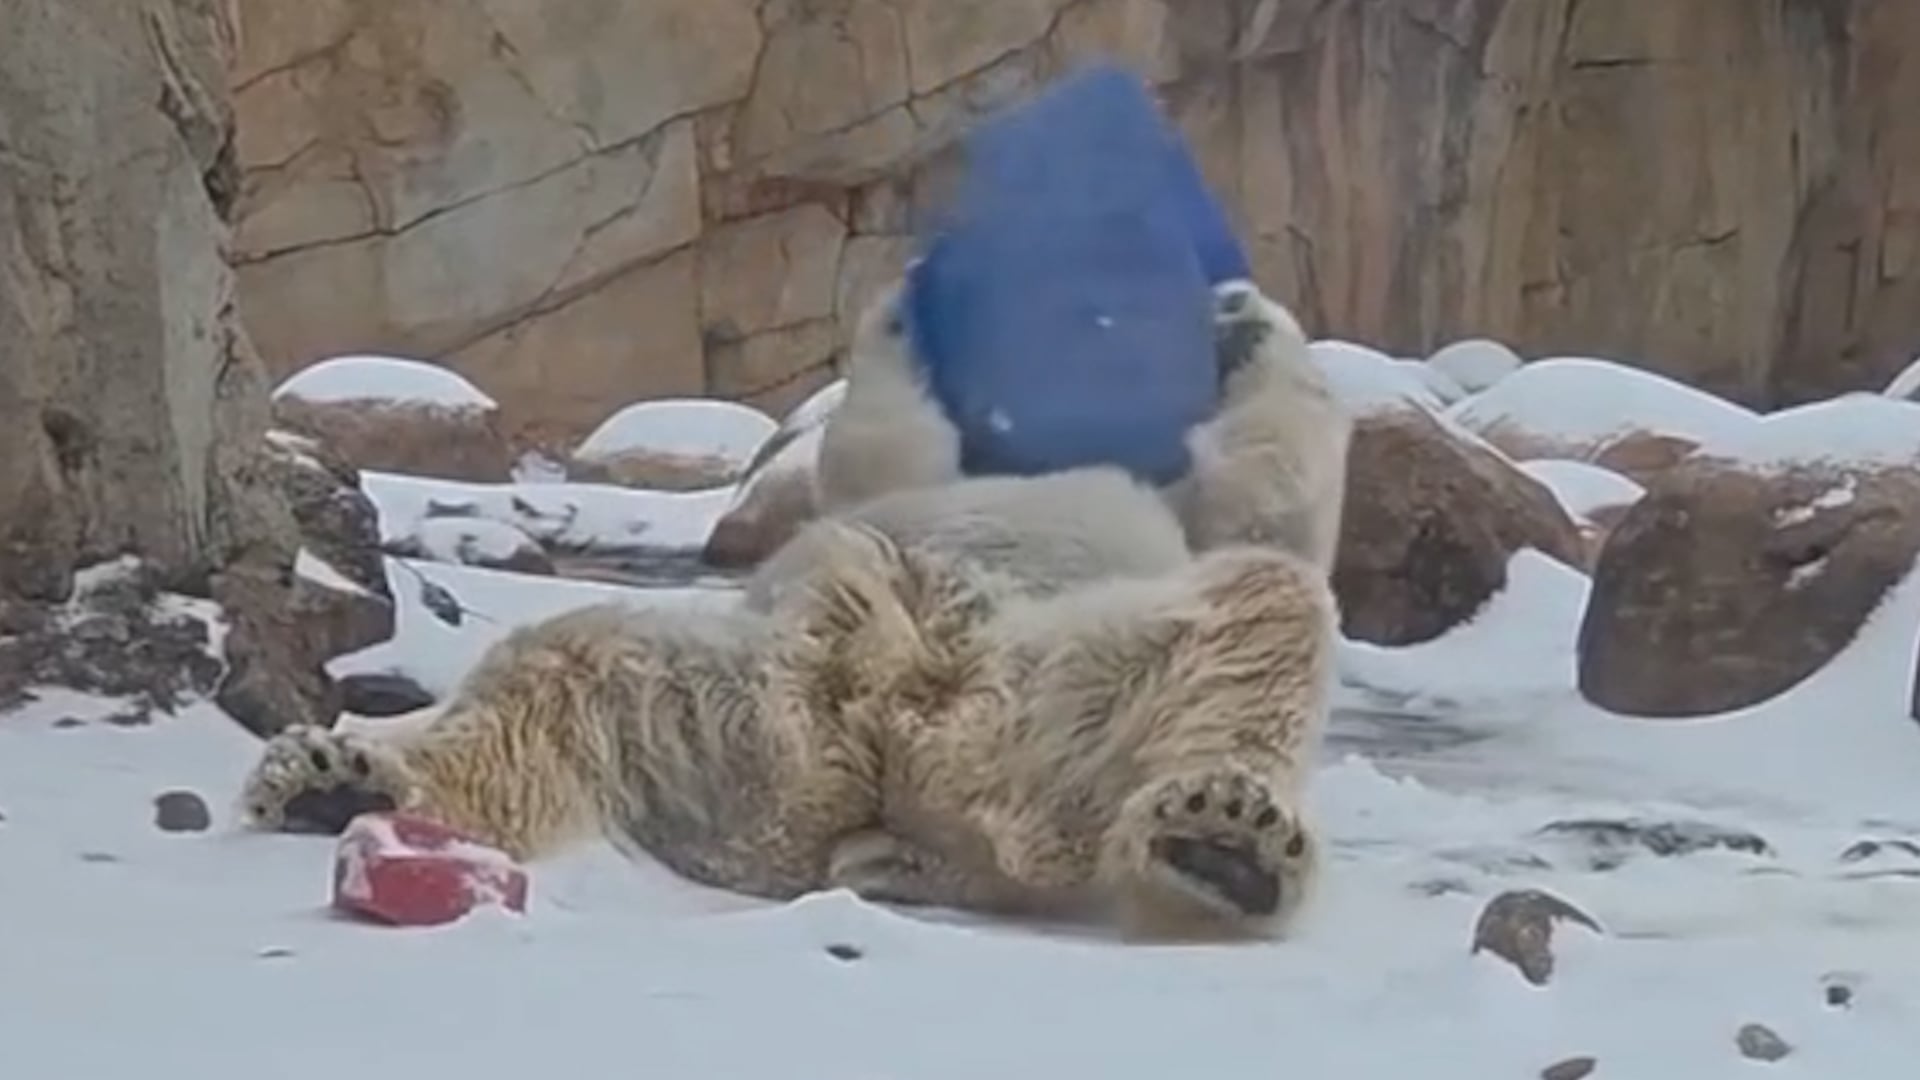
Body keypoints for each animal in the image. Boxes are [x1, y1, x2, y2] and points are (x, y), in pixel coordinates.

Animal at [238, 522, 1338, 942]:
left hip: (1026, 711)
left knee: (1262, 597)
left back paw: (1223, 839)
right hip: (753, 738)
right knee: (562, 681)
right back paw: (334, 778)